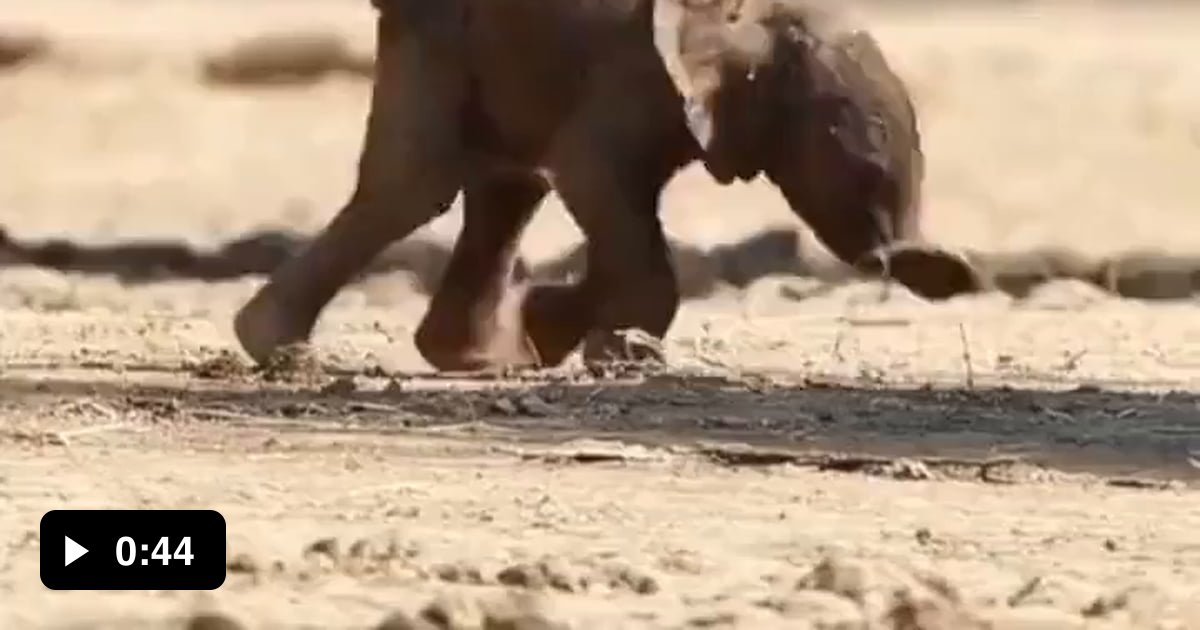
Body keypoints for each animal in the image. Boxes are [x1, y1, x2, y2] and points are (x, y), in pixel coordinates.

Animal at [233, 0, 980, 372]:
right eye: (855, 150)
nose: (938, 267)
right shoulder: (633, 69)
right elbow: (593, 173)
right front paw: (622, 354)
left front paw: (552, 326)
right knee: (424, 178)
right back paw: (285, 354)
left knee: (499, 176)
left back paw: (475, 359)